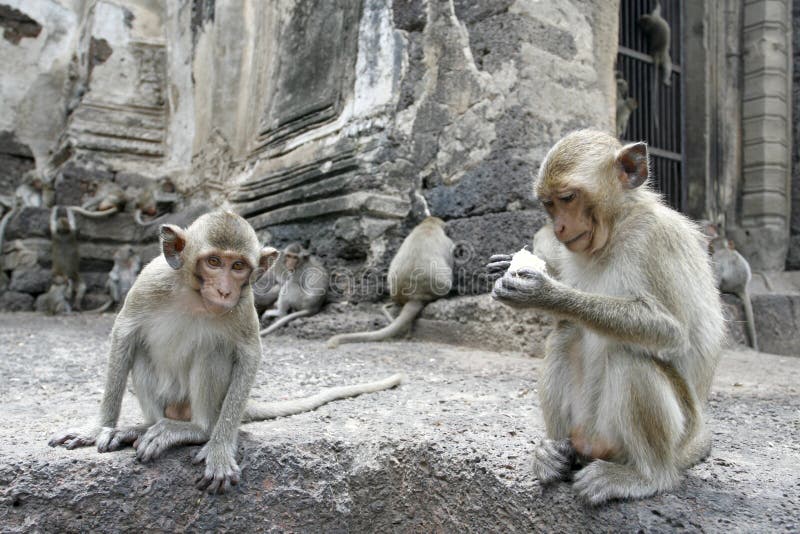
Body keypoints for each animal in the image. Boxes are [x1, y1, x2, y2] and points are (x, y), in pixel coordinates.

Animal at [48, 211, 403, 494]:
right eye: (214, 262)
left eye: (238, 266)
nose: (223, 290)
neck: (194, 295)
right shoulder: (150, 281)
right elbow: (125, 333)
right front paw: (97, 427)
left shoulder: (244, 303)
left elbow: (248, 355)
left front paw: (219, 448)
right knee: (143, 354)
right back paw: (142, 427)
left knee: (212, 353)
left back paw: (197, 430)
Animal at [487, 130, 724, 505]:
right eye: (548, 204)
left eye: (568, 198)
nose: (559, 227)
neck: (615, 230)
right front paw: (509, 264)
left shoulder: (658, 240)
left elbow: (672, 333)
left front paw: (545, 293)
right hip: (587, 426)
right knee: (565, 335)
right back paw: (553, 455)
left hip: (669, 435)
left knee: (631, 355)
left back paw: (646, 476)